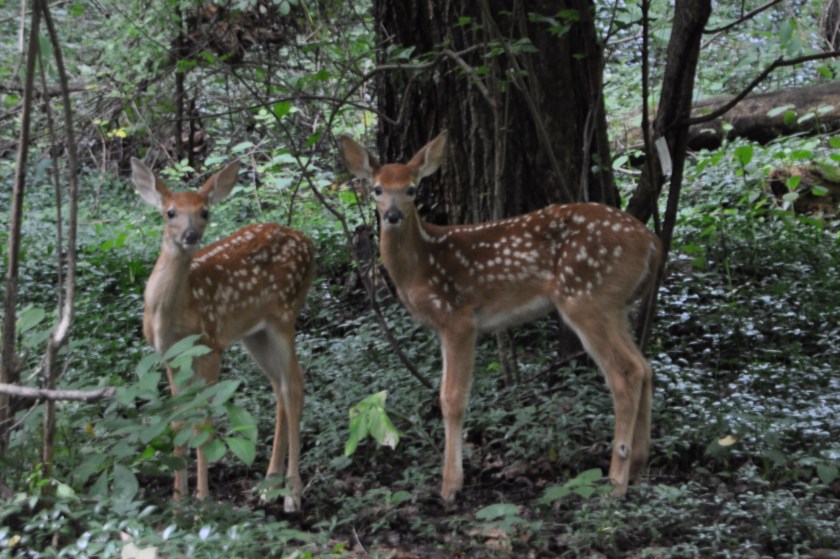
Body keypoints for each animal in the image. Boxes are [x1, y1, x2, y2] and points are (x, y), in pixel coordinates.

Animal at [130, 157, 314, 511]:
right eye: (170, 212)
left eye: (204, 211)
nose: (190, 234)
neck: (171, 313)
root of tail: (308, 241)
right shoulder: (169, 355)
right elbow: (178, 419)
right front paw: (178, 500)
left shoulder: (210, 345)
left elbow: (204, 420)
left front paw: (202, 500)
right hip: (254, 333)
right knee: (279, 387)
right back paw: (269, 485)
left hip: (284, 315)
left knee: (294, 386)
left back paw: (293, 493)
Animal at [340, 131, 663, 502]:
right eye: (377, 188)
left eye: (412, 189)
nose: (392, 215)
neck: (420, 265)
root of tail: (653, 242)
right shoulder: (443, 326)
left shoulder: (459, 316)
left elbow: (452, 398)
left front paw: (450, 486)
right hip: (614, 304)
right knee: (644, 367)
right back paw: (638, 465)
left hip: (586, 297)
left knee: (625, 373)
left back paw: (616, 481)